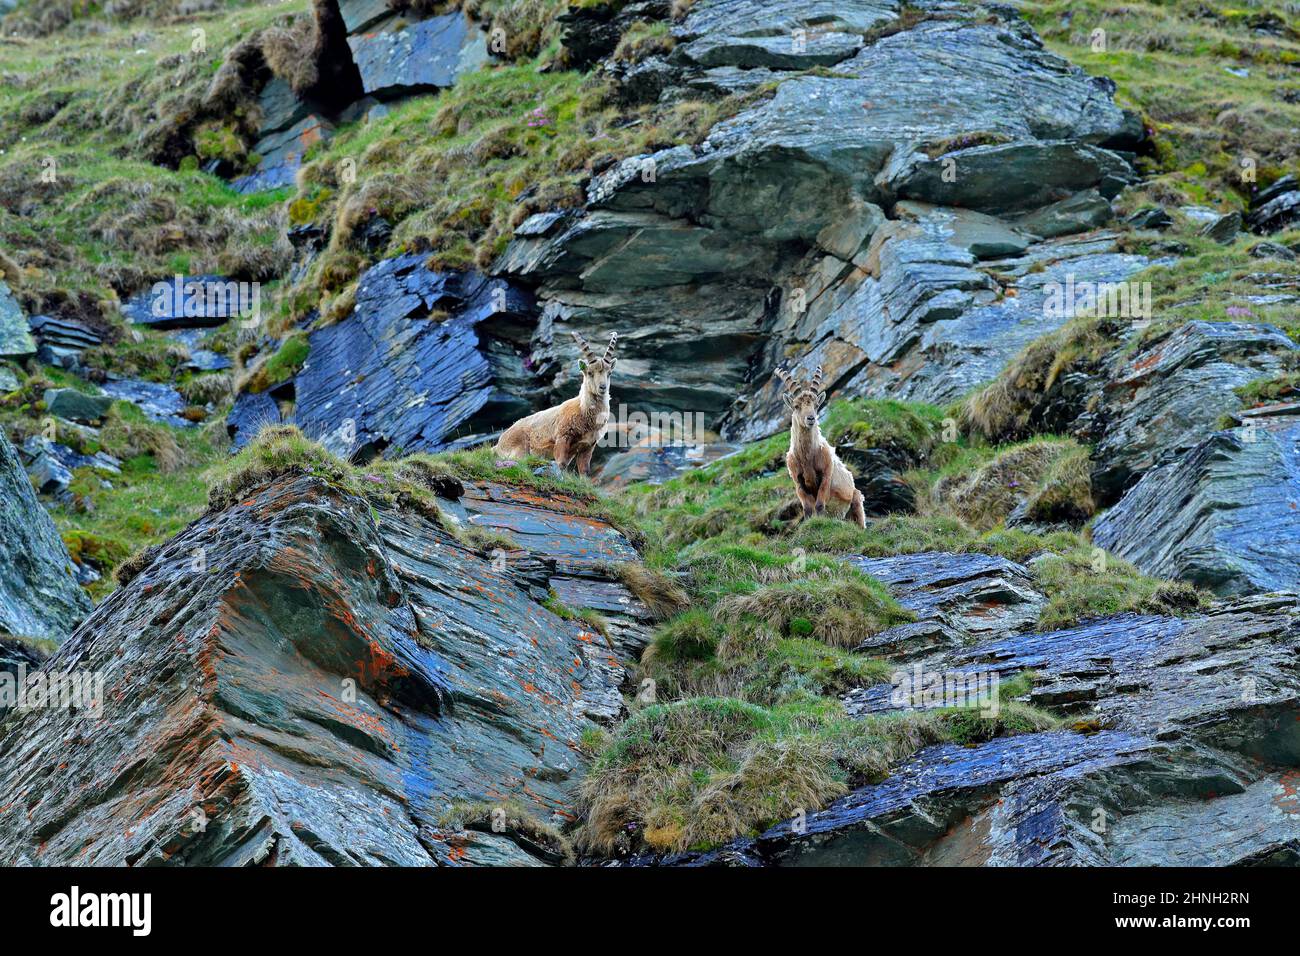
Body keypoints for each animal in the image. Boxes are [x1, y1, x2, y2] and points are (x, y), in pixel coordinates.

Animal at [494, 331, 617, 476]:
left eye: (609, 373)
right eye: (590, 373)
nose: (602, 387)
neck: (583, 411)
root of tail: (499, 443)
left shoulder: (587, 446)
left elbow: (584, 472)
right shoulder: (562, 438)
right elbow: (561, 464)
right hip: (520, 448)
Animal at [774, 364, 866, 528]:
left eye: (816, 405)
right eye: (796, 406)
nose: (811, 418)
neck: (807, 457)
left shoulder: (825, 476)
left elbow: (819, 505)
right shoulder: (799, 482)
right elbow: (808, 509)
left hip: (856, 501)